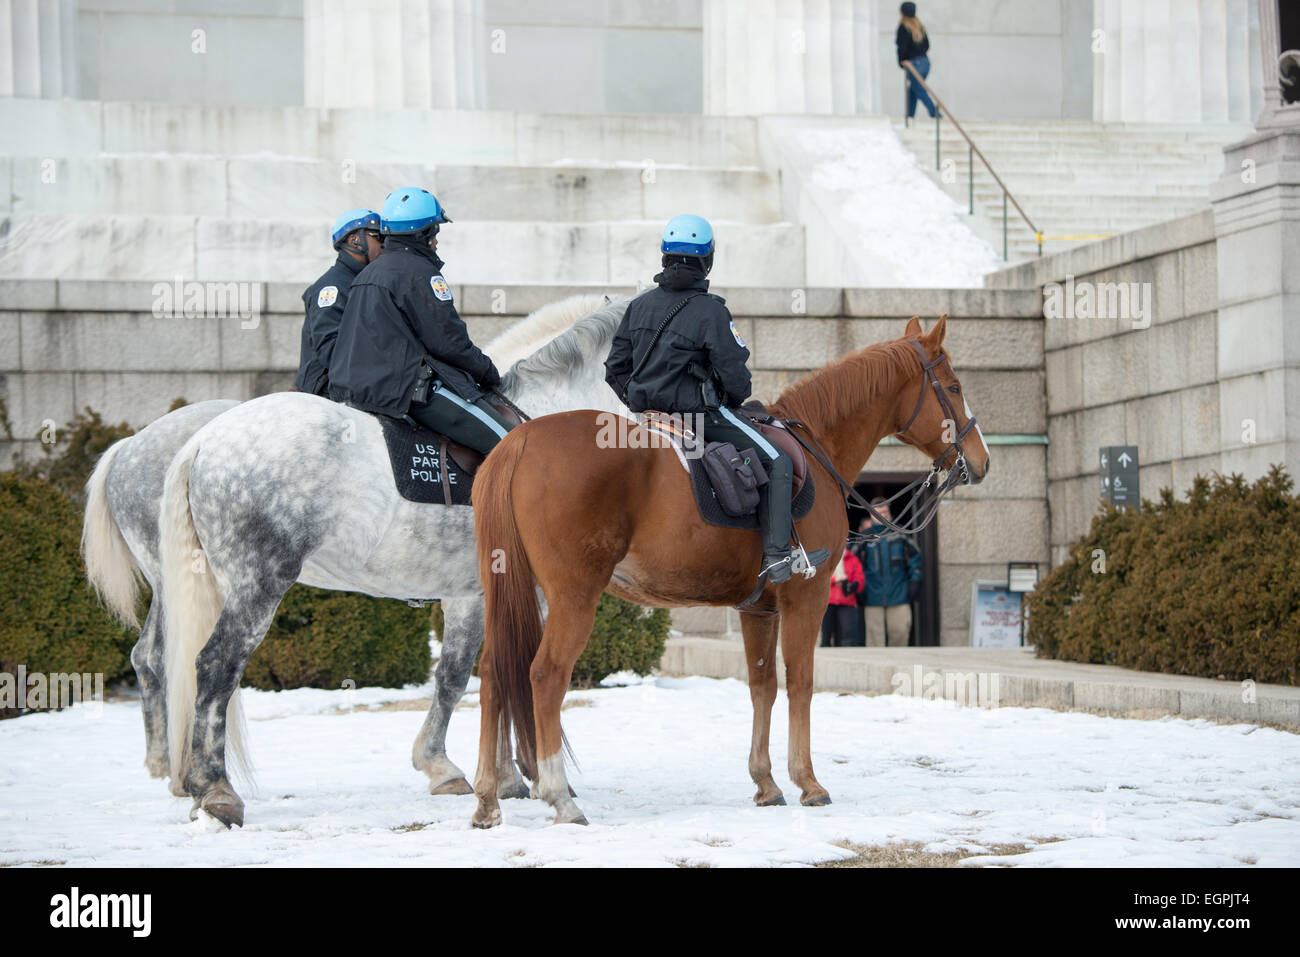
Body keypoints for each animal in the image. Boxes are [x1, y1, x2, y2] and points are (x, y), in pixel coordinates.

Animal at [157, 294, 633, 827]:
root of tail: (204, 440)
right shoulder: (498, 595)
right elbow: (472, 675)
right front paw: (478, 771)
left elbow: (489, 672)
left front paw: (503, 778)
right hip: (257, 586)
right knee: (217, 666)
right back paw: (215, 790)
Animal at [469, 315, 991, 827]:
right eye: (954, 386)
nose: (982, 460)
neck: (816, 446)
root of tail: (521, 440)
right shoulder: (808, 597)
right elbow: (800, 682)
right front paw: (808, 782)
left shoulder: (757, 609)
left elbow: (763, 687)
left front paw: (766, 782)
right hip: (573, 596)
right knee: (545, 675)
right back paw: (558, 794)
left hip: (511, 593)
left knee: (494, 671)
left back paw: (488, 797)